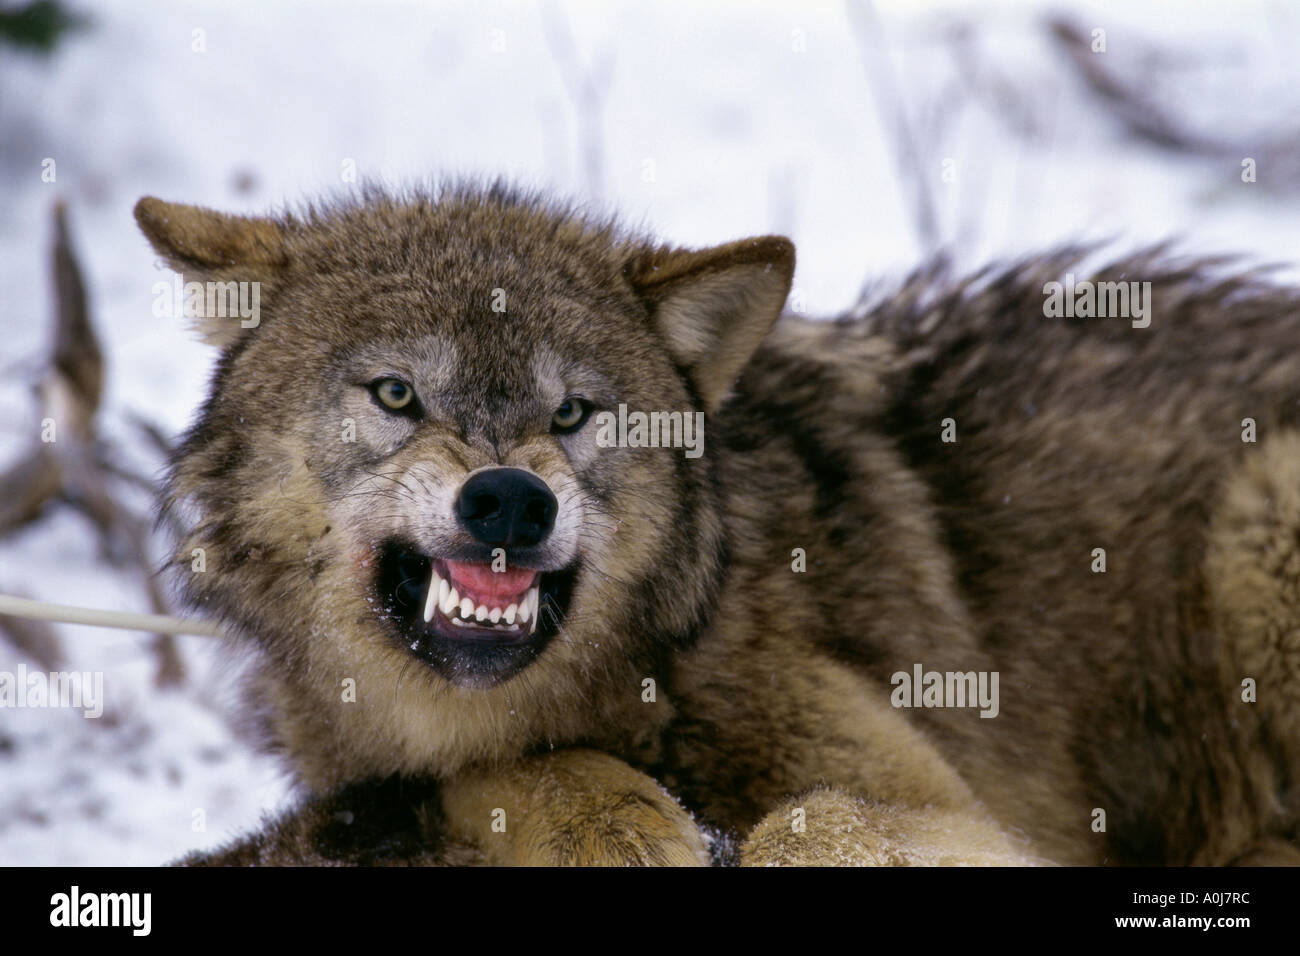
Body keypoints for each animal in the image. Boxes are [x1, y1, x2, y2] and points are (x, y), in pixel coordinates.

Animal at [134, 183, 1300, 866]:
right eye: (396, 394)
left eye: (573, 411)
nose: (510, 496)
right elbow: (489, 775)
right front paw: (612, 820)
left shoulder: (975, 820)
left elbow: (806, 822)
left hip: (1261, 510)